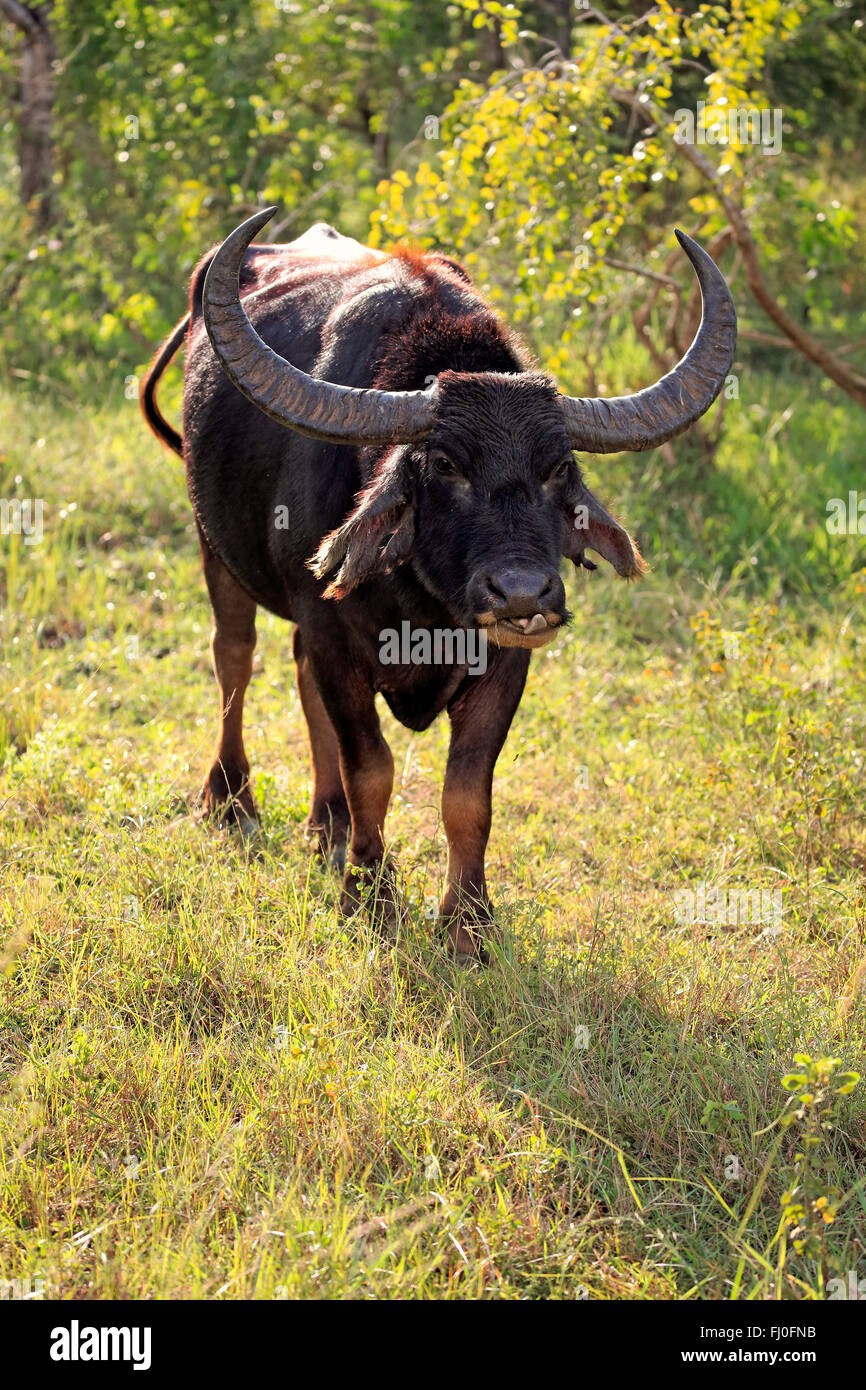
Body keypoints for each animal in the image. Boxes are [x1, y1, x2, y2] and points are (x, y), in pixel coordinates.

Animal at [141, 209, 735, 961]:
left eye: (558, 469)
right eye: (446, 465)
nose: (522, 594)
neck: (425, 605)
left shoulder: (503, 665)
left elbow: (467, 794)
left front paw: (468, 920)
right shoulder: (338, 639)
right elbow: (373, 769)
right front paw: (370, 894)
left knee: (298, 678)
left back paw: (327, 822)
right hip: (212, 542)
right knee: (235, 659)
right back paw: (231, 799)